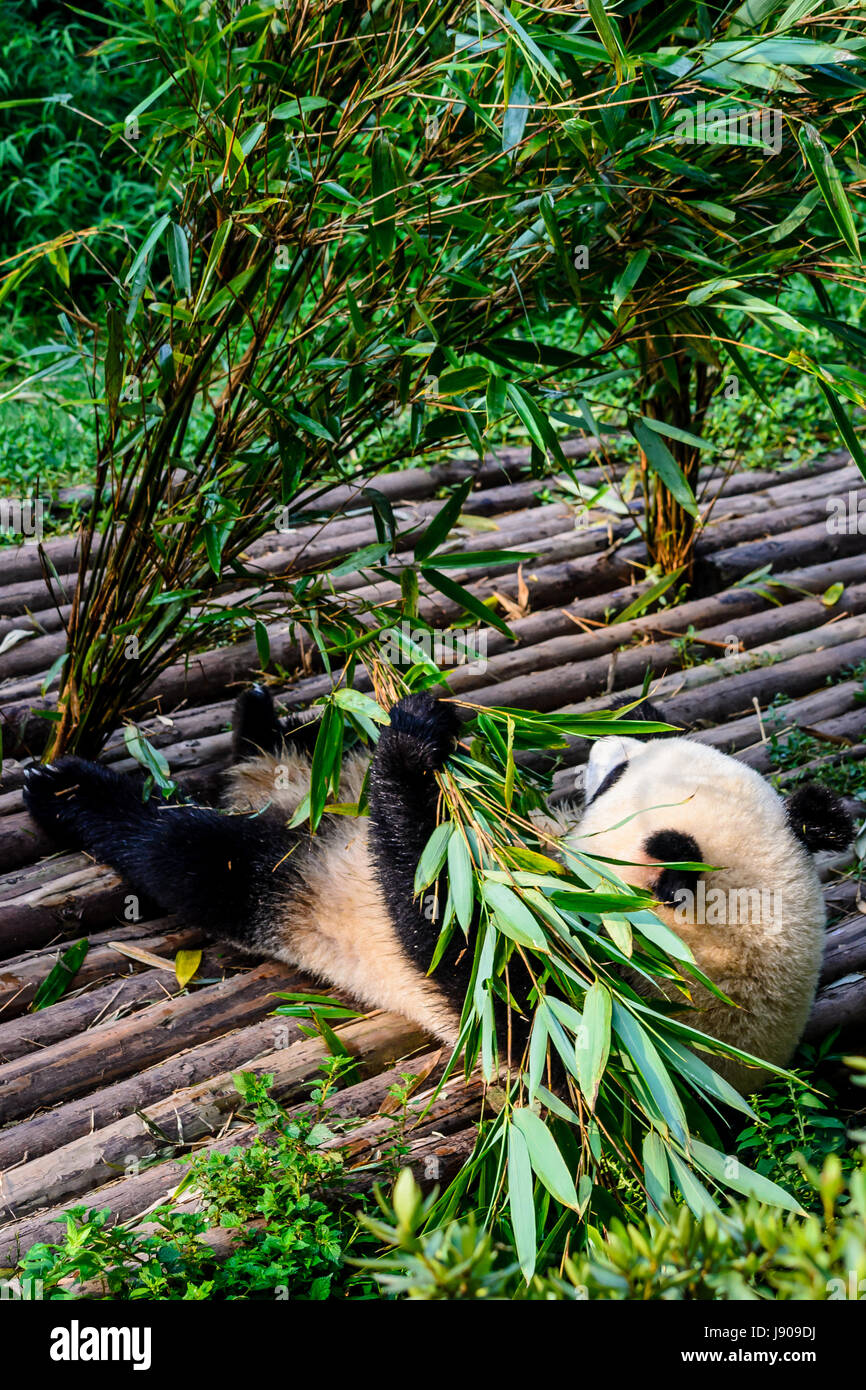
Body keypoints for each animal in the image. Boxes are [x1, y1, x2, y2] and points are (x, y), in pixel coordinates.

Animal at [22, 687, 853, 1094]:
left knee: (192, 857)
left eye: (618, 777)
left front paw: (414, 743)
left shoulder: (578, 1019)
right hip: (313, 790)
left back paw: (69, 795)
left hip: (287, 877)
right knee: (303, 752)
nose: (606, 745)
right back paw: (262, 714)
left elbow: (447, 927)